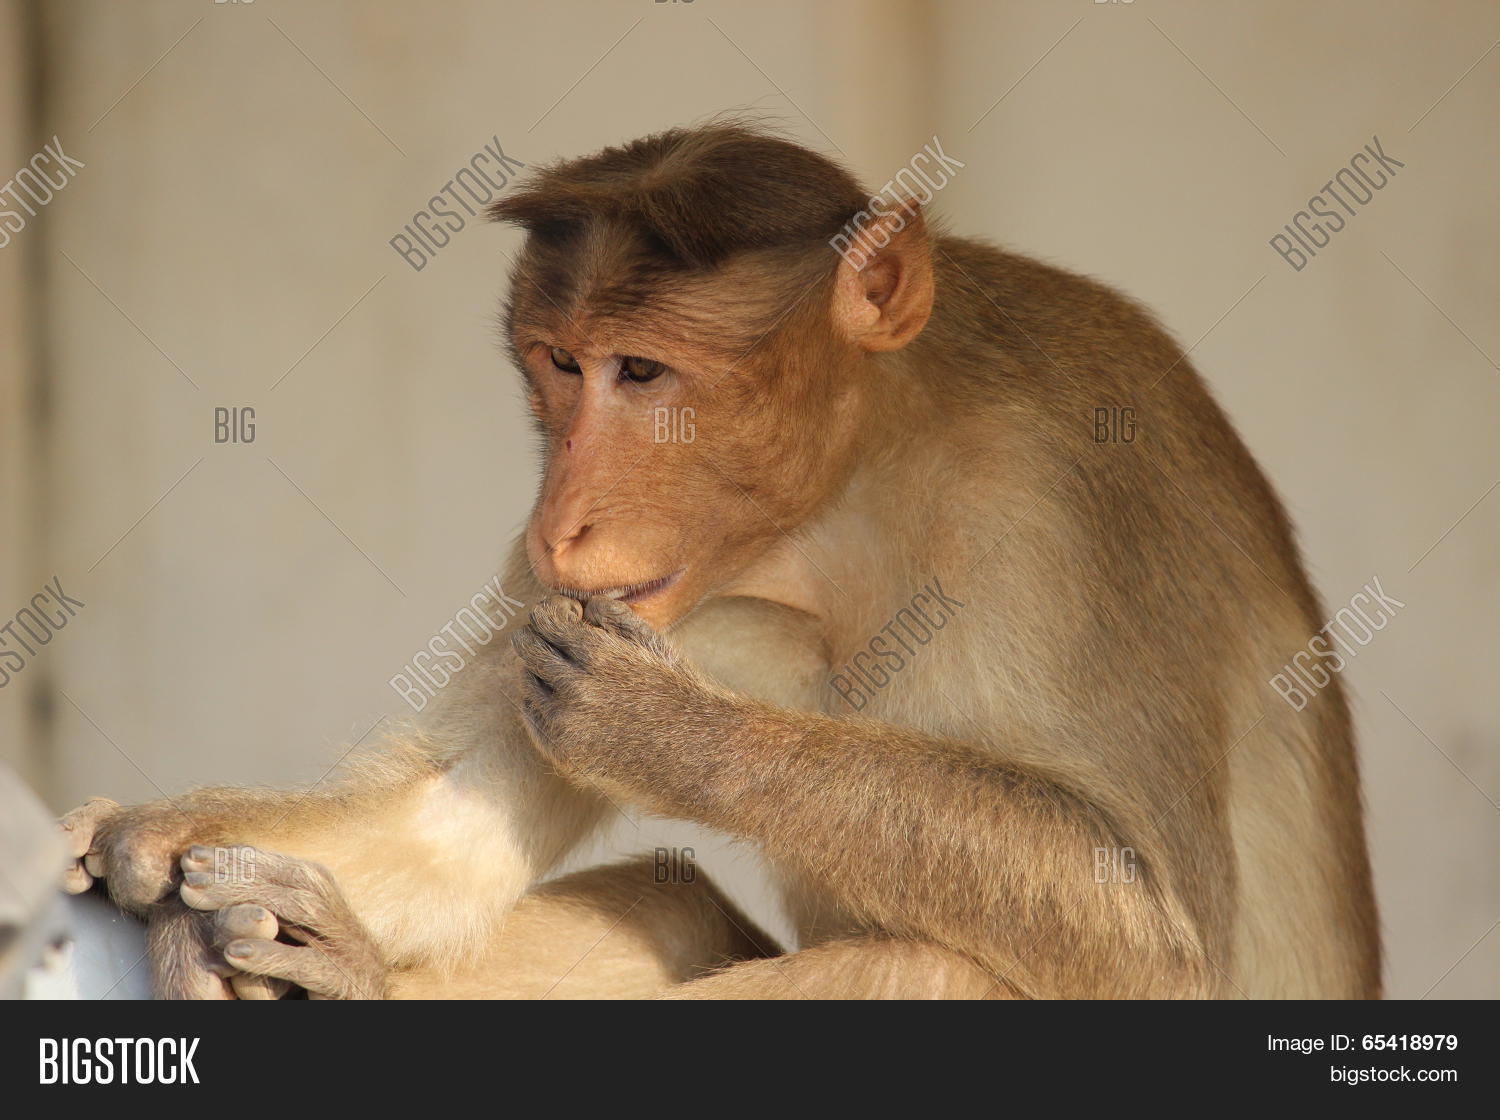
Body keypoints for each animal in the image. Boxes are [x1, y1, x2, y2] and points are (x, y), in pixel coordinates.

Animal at [59, 121, 1380, 999]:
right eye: (557, 362)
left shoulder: (1064, 492)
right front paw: (166, 836)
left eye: (642, 372)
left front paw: (676, 736)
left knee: (934, 971)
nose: (559, 517)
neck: (856, 489)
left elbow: (1159, 939)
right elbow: (443, 822)